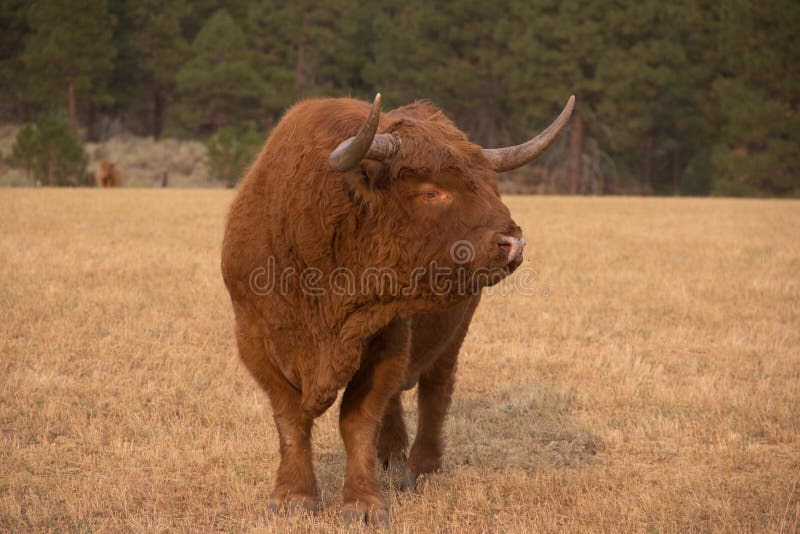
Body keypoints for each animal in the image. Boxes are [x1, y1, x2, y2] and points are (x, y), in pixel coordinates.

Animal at [221, 93, 574, 525]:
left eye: (491, 186)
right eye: (431, 192)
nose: (513, 243)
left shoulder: (386, 341)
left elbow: (357, 419)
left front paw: (363, 504)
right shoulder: (254, 339)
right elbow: (291, 419)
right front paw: (293, 497)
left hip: (453, 334)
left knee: (436, 390)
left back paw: (421, 468)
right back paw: (390, 455)